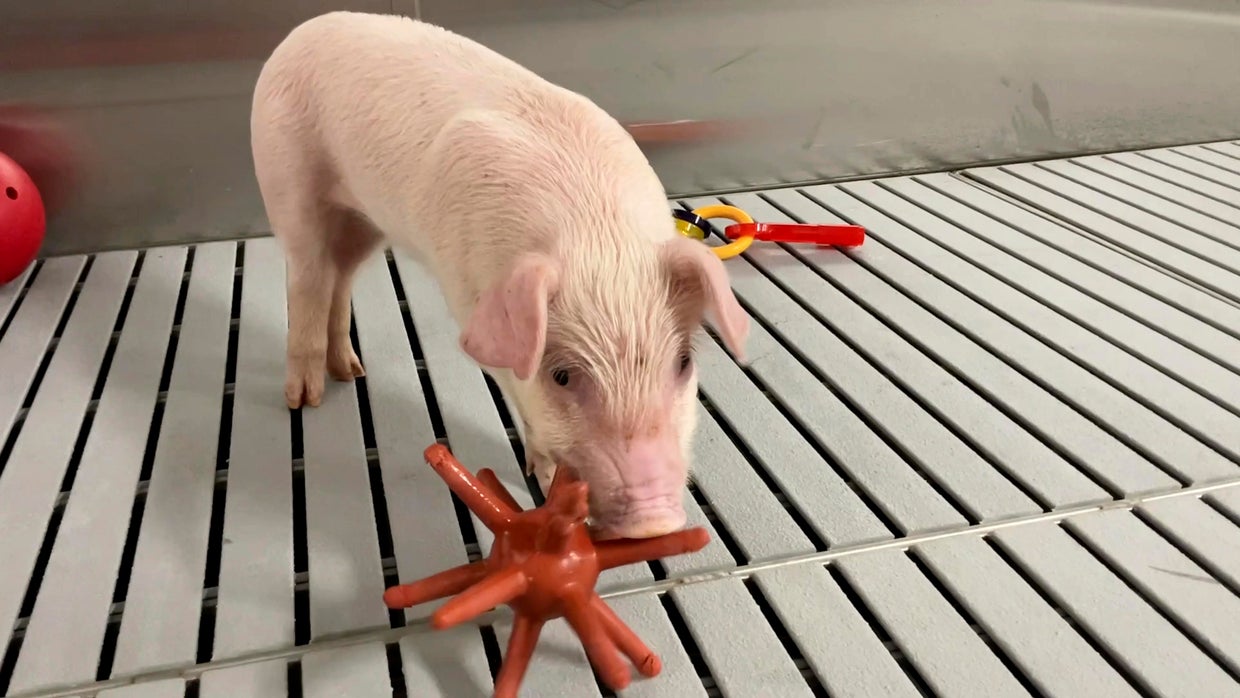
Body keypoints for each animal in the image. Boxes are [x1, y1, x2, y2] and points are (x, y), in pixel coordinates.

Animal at [250, 12, 748, 539]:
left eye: (683, 362)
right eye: (561, 376)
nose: (653, 524)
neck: (596, 239)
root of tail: (307, 26)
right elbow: (515, 394)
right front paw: (545, 479)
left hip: (364, 221)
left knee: (339, 277)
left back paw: (351, 371)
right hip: (287, 180)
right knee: (306, 275)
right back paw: (306, 400)